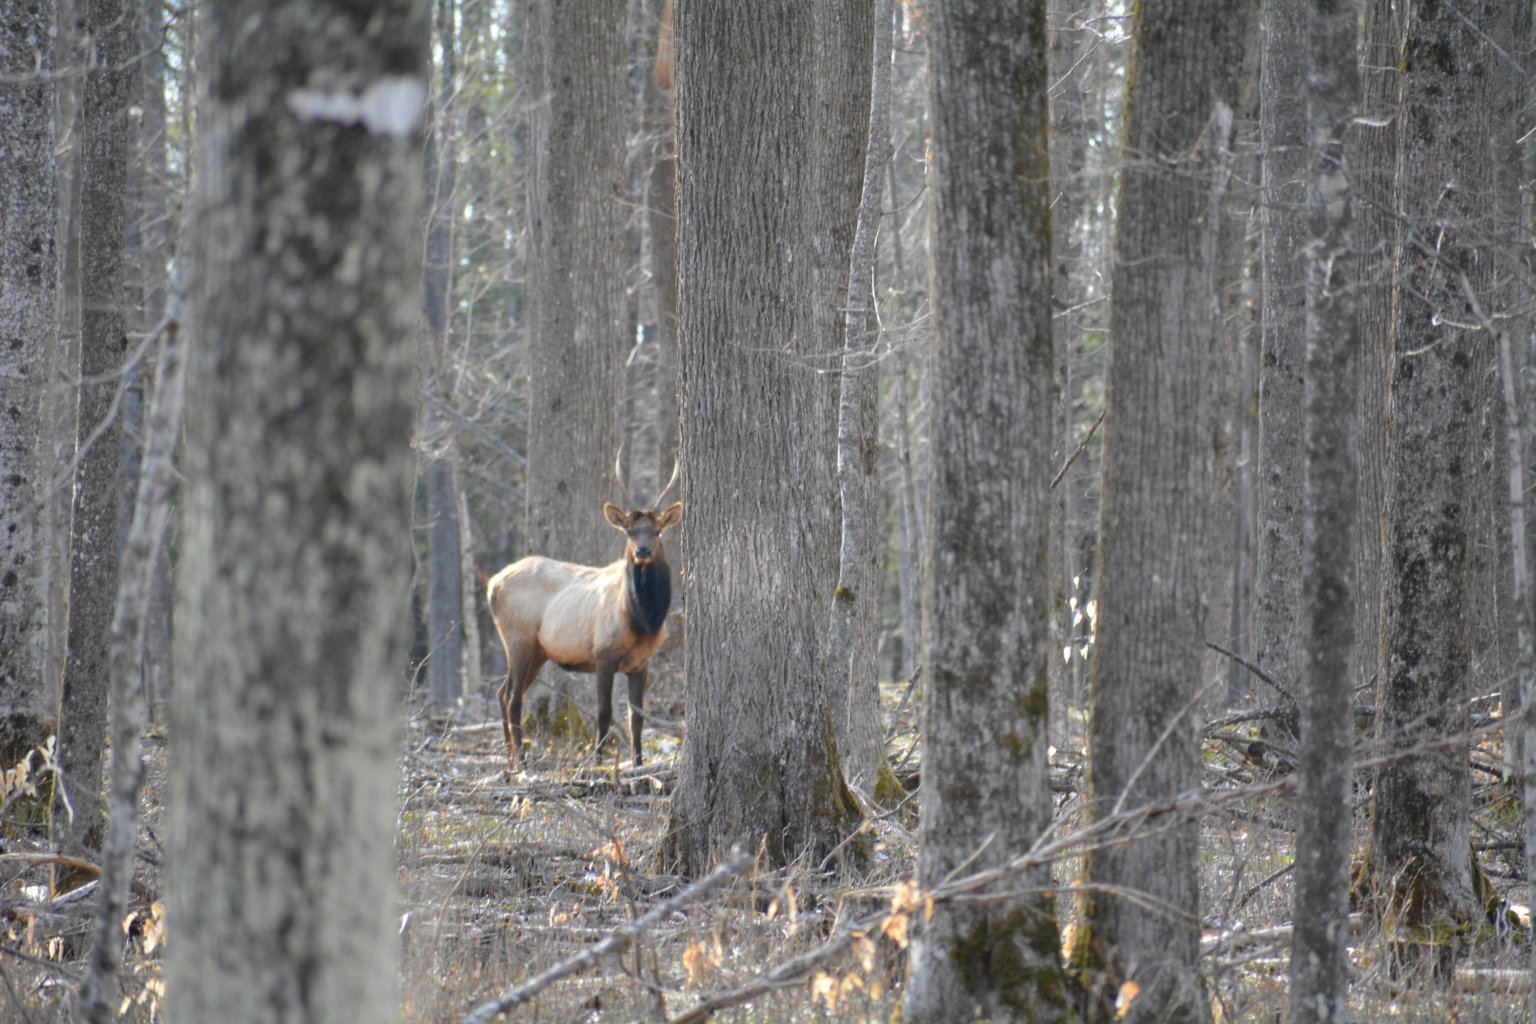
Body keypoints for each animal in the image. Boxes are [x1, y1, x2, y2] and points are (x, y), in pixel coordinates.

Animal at [487, 463, 682, 768]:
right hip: (518, 638)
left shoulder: (641, 662)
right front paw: (598, 762)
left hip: (538, 651)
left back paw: (510, 756)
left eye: (658, 531)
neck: (642, 621)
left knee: (501, 692)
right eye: (629, 531)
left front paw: (638, 763)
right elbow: (604, 713)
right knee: (513, 698)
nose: (642, 550)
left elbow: (636, 716)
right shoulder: (604, 653)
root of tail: (492, 584)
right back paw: (521, 760)